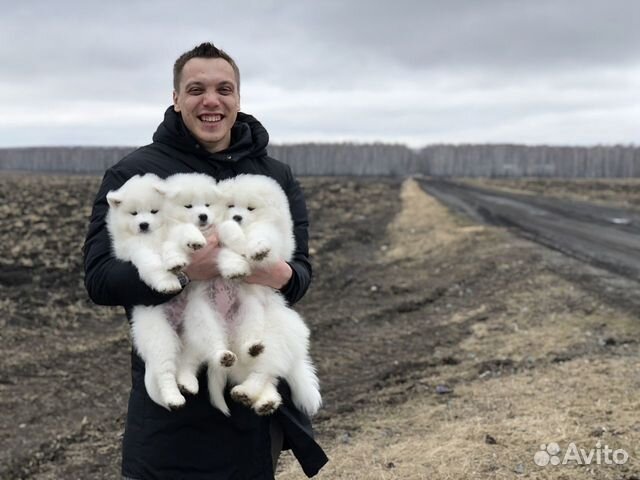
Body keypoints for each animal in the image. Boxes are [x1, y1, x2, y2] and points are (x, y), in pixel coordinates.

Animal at [215, 173, 322, 416]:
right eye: (230, 205)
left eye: (250, 208)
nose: (236, 217)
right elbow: (226, 250)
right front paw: (234, 265)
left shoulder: (275, 236)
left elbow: (262, 235)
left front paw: (257, 248)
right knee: (264, 376)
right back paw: (259, 399)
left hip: (271, 339)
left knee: (264, 371)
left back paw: (253, 395)